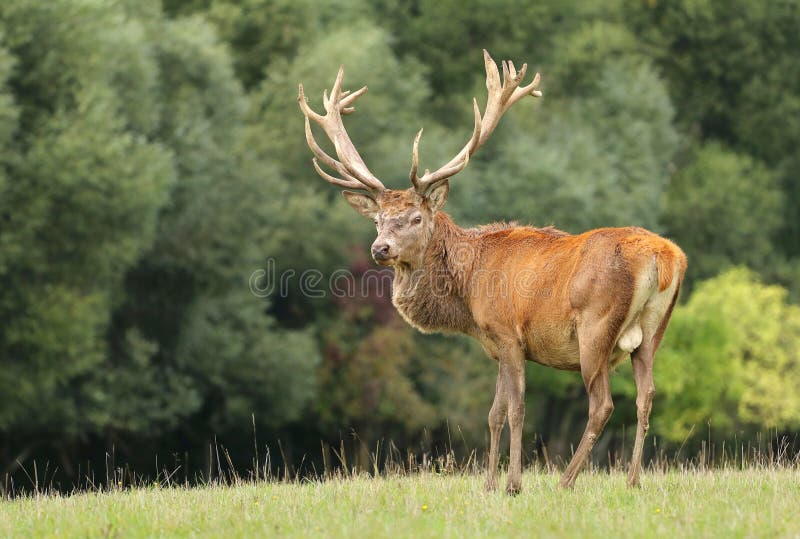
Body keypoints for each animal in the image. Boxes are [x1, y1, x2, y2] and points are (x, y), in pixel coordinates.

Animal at [298, 50, 687, 494]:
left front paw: (513, 484)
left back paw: (566, 480)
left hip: (595, 328)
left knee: (602, 404)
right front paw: (487, 483)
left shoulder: (507, 332)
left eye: (415, 218)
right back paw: (633, 480)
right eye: (378, 220)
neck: (468, 291)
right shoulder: (496, 344)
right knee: (646, 396)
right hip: (653, 333)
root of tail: (665, 257)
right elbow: (494, 413)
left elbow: (517, 410)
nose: (380, 249)